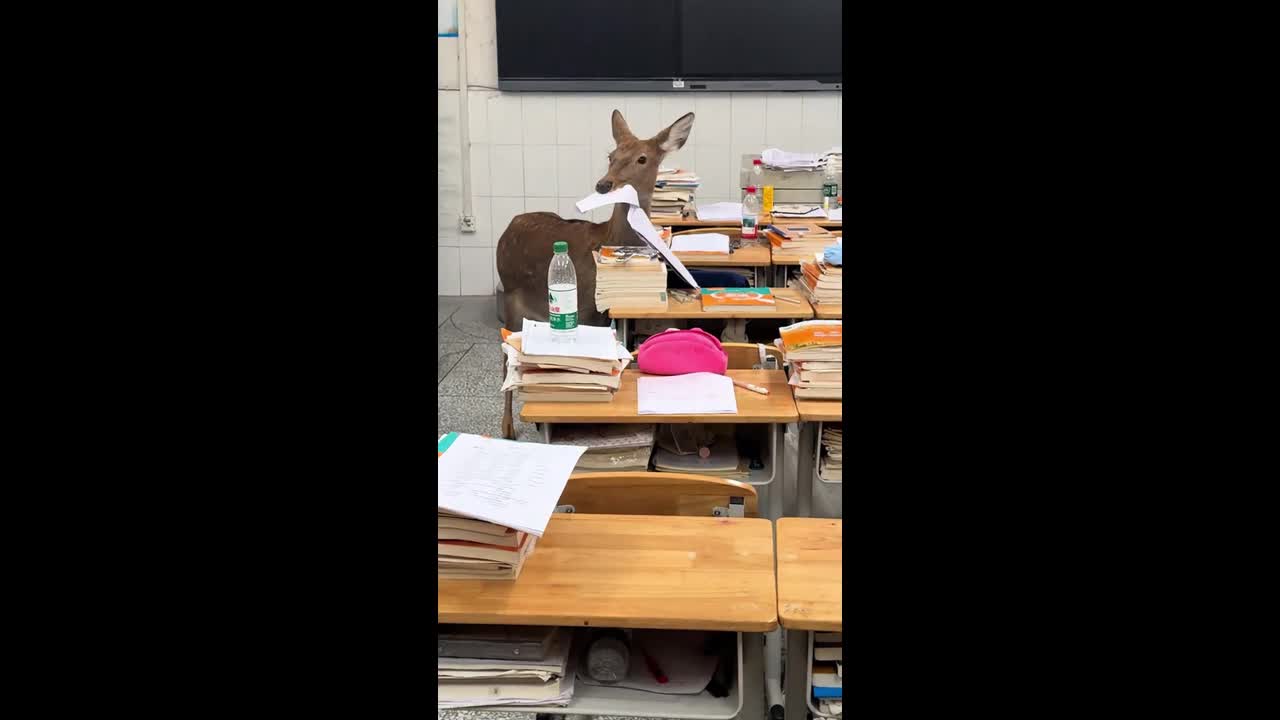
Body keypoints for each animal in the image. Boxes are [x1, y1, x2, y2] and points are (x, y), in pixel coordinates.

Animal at [496, 109, 695, 331]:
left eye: (642, 159)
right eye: (611, 156)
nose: (603, 184)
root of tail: (509, 227)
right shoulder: (585, 312)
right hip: (513, 301)